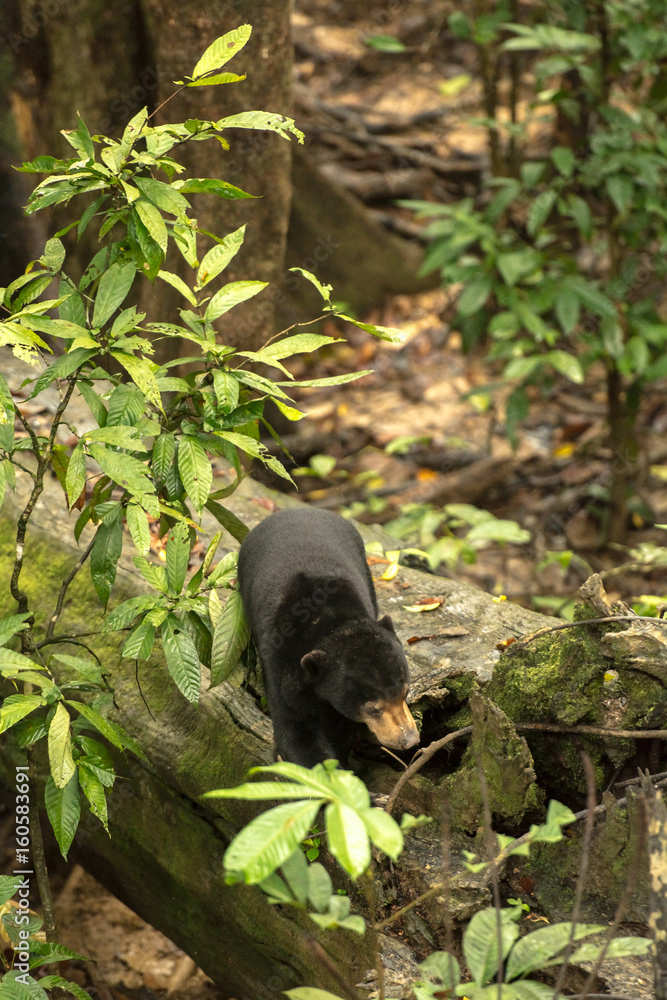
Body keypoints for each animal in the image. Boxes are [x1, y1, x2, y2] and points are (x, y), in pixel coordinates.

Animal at [237, 506, 420, 768]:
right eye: (373, 709)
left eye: (405, 692)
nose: (409, 740)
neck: (329, 620)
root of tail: (298, 508)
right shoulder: (281, 660)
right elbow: (295, 727)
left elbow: (339, 727)